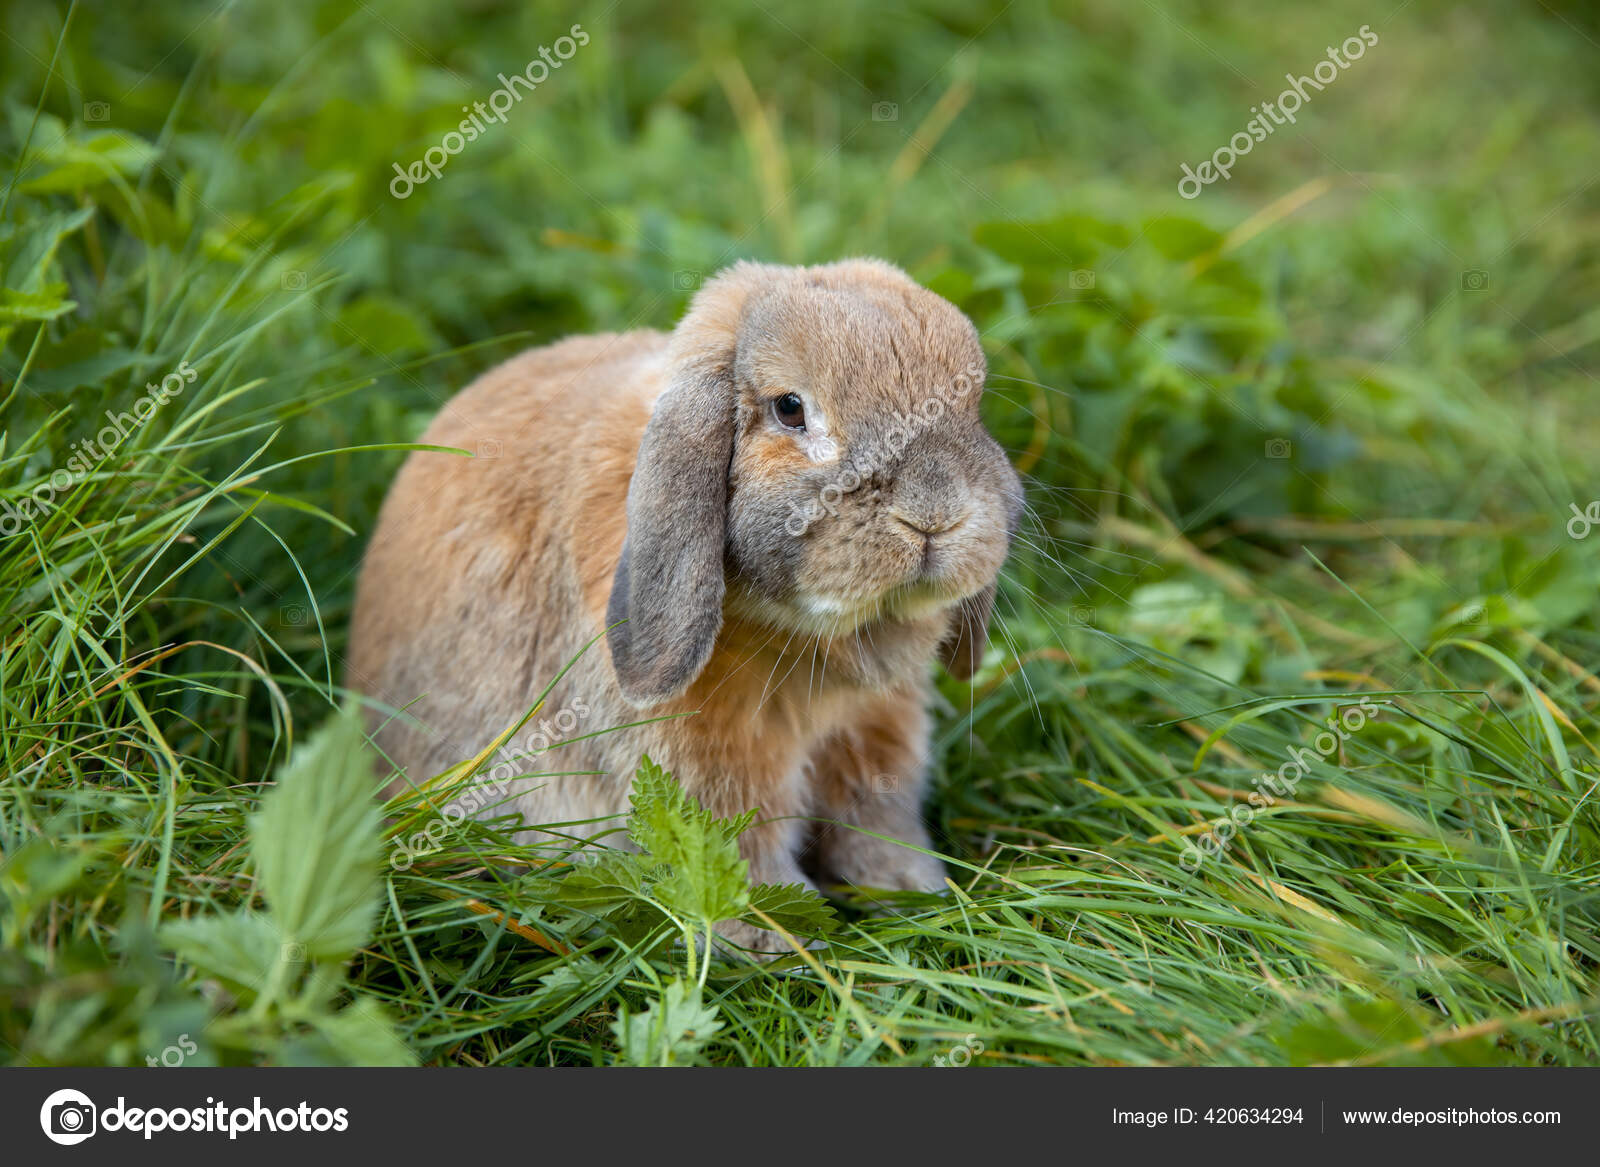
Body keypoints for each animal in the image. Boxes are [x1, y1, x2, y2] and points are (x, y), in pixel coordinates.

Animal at [347, 258, 1022, 954]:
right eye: (790, 409)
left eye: (972, 404)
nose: (934, 515)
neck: (807, 639)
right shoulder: (708, 765)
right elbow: (738, 847)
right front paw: (771, 938)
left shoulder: (878, 735)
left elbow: (876, 822)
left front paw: (912, 892)